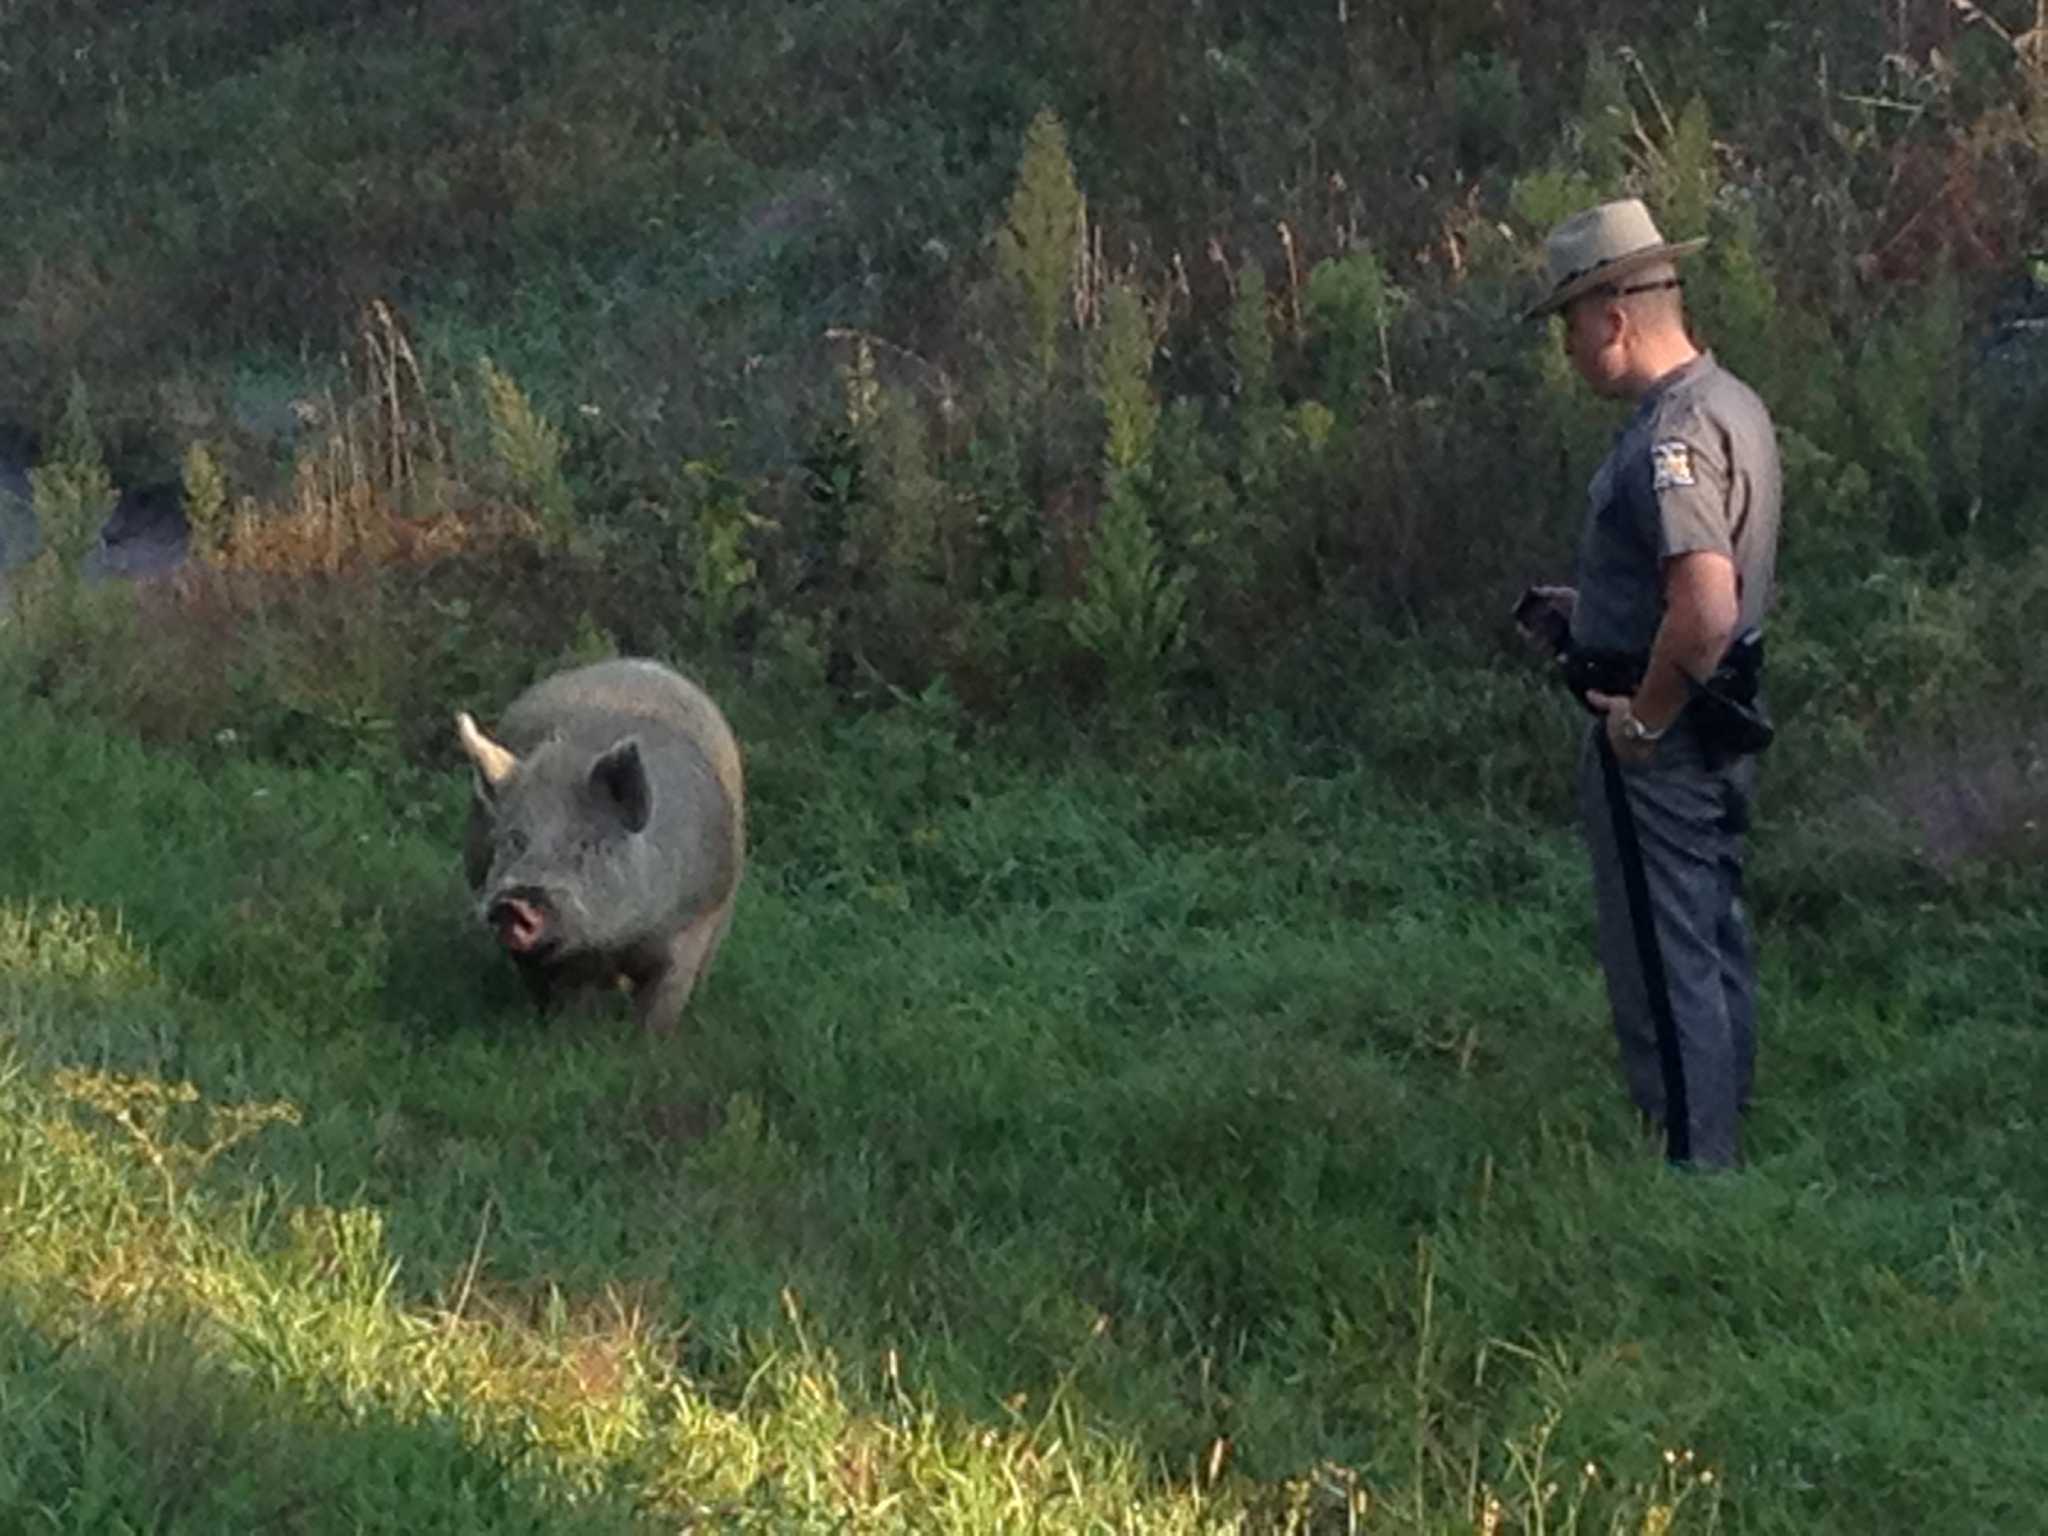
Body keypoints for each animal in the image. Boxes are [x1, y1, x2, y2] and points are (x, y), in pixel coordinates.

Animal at [454, 657, 746, 1033]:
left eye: (585, 845)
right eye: (514, 839)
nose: (515, 902)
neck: (616, 941)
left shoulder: (692, 927)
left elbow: (662, 1006)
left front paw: (645, 1043)